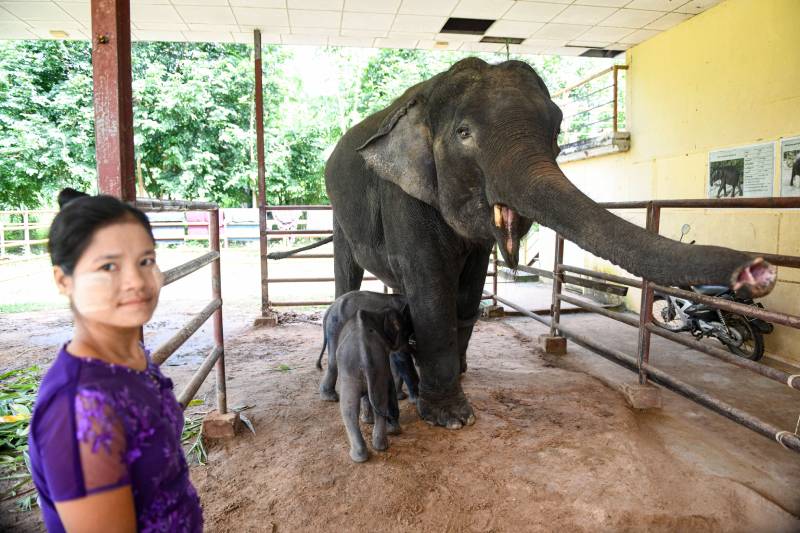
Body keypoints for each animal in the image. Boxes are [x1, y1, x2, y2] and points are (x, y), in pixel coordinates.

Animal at [318, 57, 776, 430]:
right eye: (464, 132)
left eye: (556, 130)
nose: (759, 270)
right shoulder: (402, 196)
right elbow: (432, 290)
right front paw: (452, 419)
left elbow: (466, 293)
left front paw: (456, 379)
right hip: (338, 209)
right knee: (347, 270)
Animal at [335, 308, 407, 462]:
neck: (379, 314)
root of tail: (363, 352)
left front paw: (368, 421)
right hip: (366, 367)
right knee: (376, 402)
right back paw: (376, 449)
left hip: (356, 370)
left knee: (351, 407)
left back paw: (362, 455)